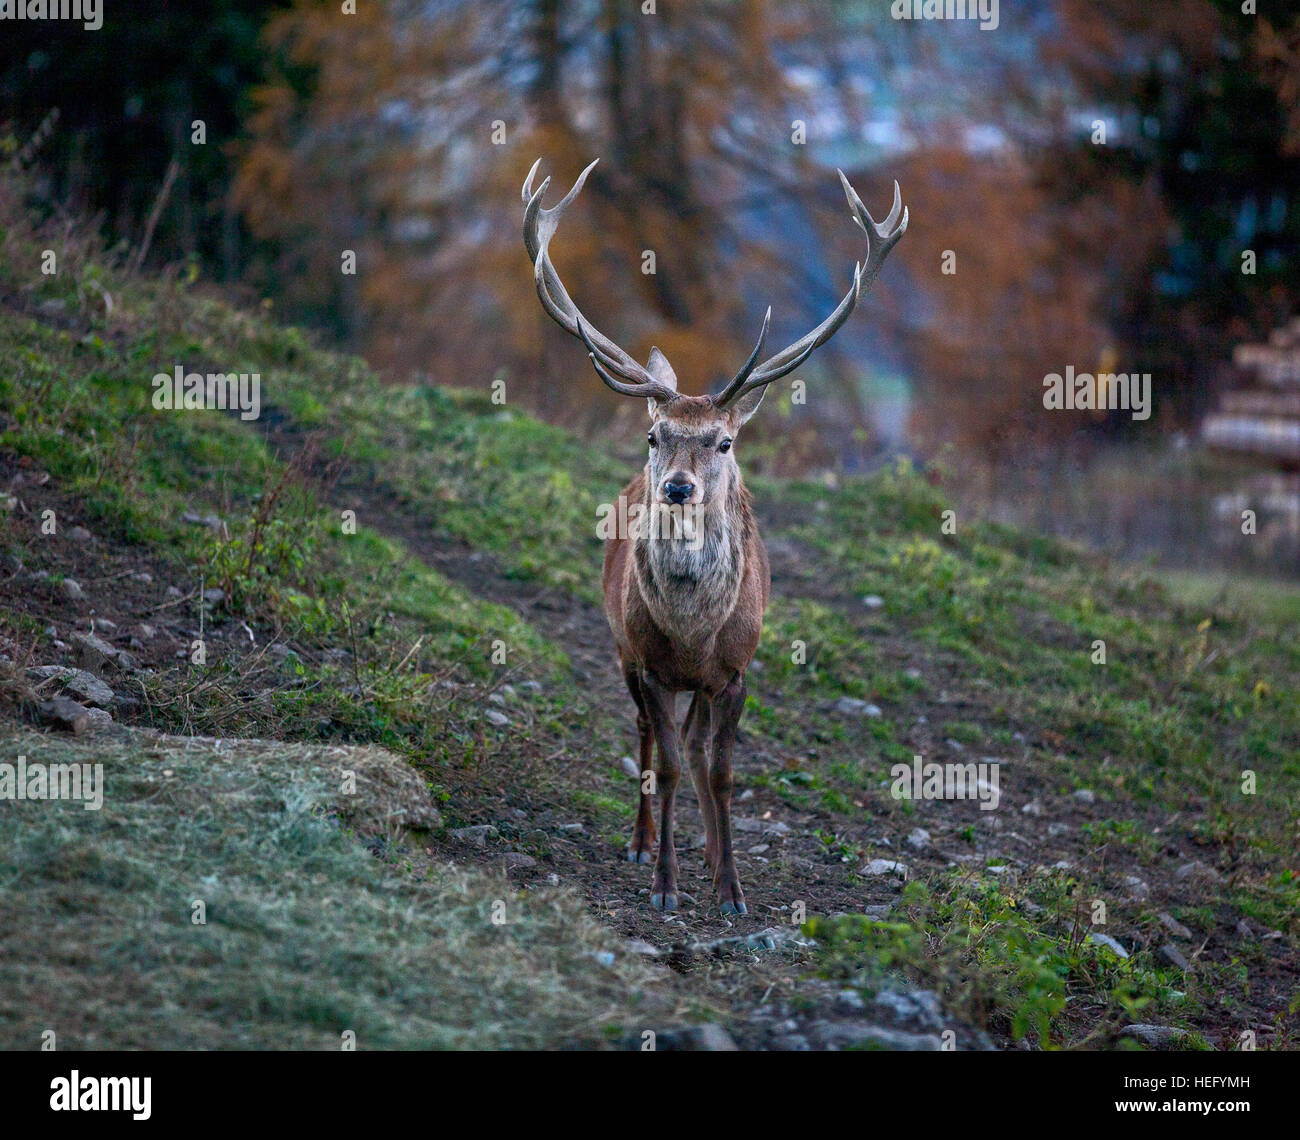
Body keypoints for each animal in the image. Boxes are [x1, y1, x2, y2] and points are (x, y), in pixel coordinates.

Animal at [522, 158, 907, 915]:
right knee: (651, 738)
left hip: (699, 684)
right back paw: (644, 843)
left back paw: (707, 853)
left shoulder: (734, 671)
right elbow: (667, 765)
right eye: (655, 435)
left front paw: (731, 886)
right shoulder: (647, 662)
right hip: (623, 650)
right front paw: (665, 883)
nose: (677, 488)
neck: (693, 632)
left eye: (724, 442)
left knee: (698, 746)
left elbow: (723, 771)